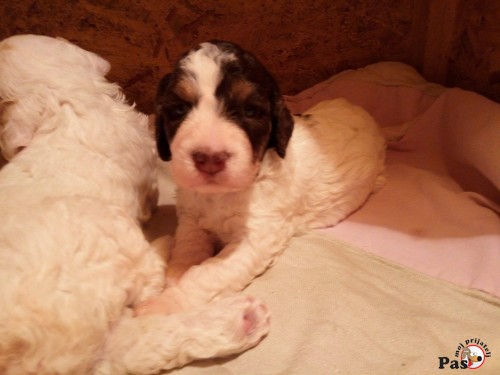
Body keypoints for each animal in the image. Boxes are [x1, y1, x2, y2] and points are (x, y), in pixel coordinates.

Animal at [137, 40, 386, 318]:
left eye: (250, 111)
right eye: (179, 109)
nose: (209, 158)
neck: (220, 195)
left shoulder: (256, 236)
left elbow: (208, 273)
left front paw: (164, 304)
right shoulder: (192, 219)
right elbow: (187, 251)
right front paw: (172, 280)